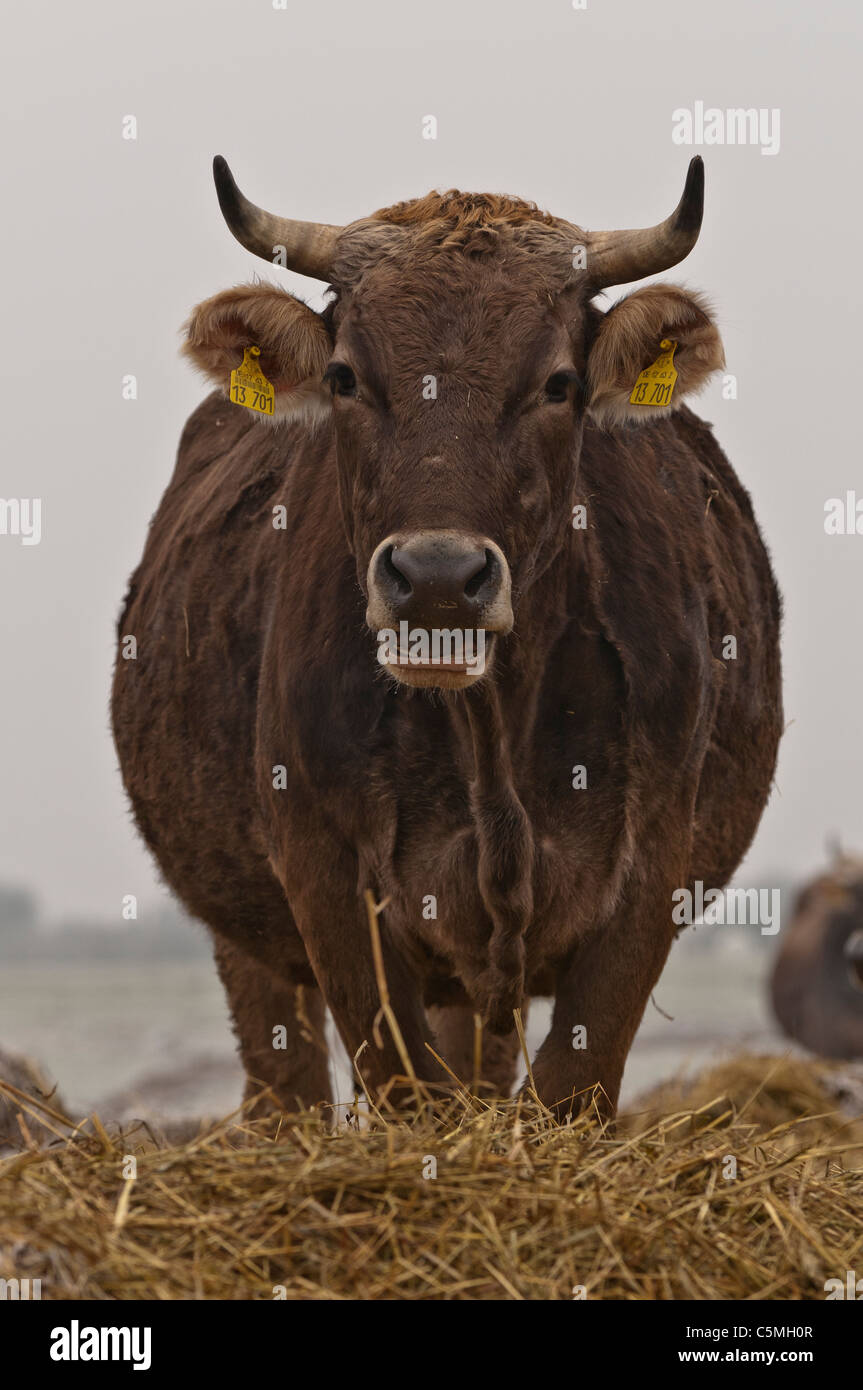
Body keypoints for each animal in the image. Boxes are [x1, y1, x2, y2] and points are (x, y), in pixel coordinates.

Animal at [111, 155, 783, 1119]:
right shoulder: (324, 880)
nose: (435, 578)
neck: (487, 727)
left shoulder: (652, 867)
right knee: (284, 1080)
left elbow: (569, 1087)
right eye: (346, 378)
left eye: (558, 384)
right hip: (244, 933)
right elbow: (407, 1088)